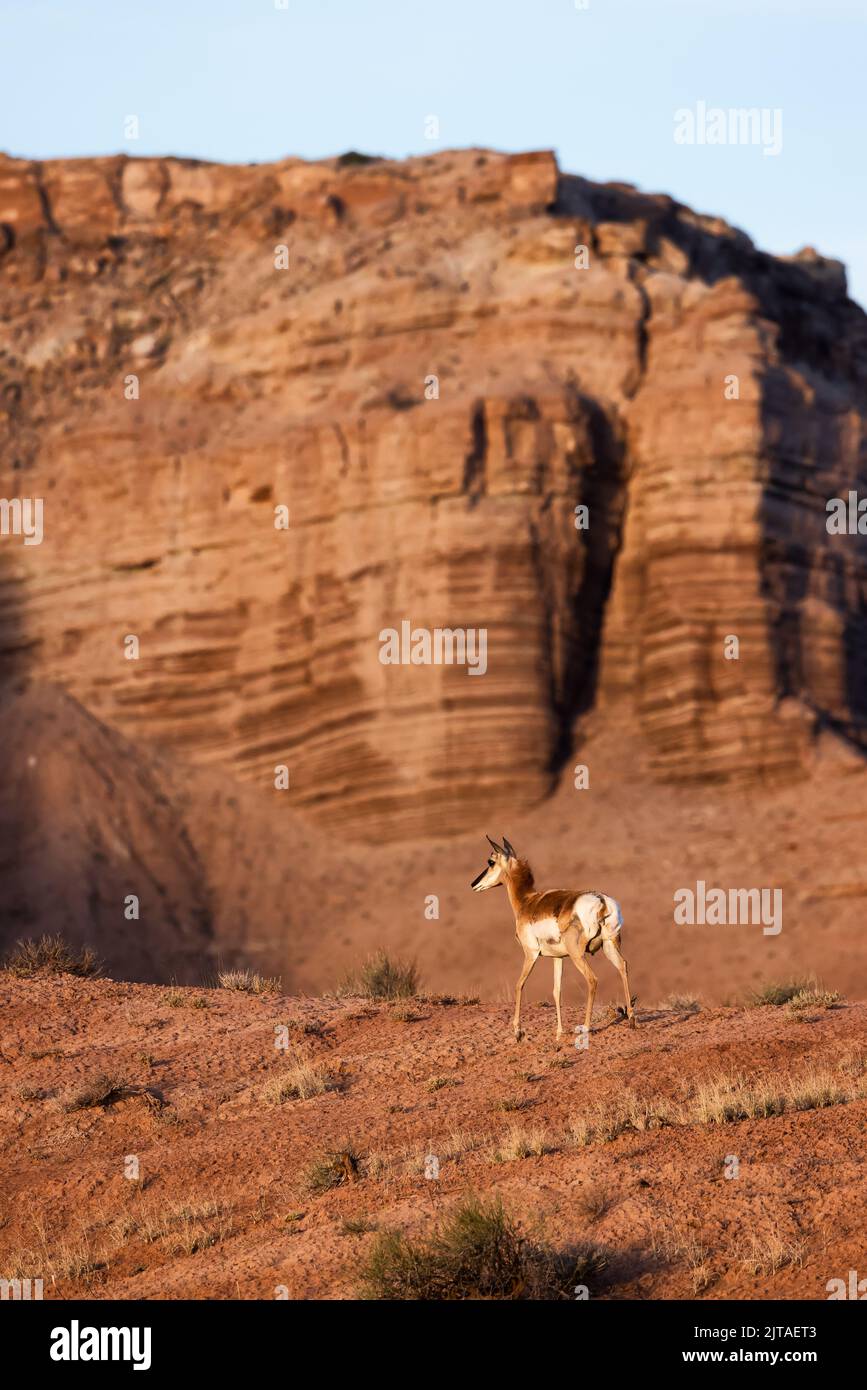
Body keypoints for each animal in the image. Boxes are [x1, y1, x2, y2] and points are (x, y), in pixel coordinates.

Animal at [471, 835, 635, 1042]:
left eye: (491, 861)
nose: (474, 884)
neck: (527, 901)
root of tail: (602, 901)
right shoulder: (558, 958)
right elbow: (557, 991)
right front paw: (559, 1032)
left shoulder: (531, 954)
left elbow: (519, 985)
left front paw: (517, 1031)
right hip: (609, 947)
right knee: (623, 966)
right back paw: (632, 1020)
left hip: (578, 956)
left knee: (592, 980)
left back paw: (586, 1028)